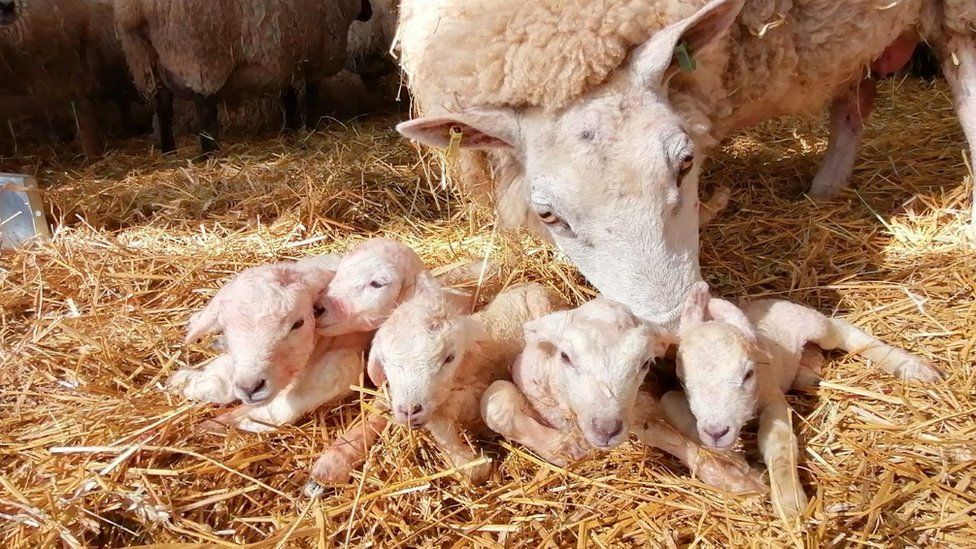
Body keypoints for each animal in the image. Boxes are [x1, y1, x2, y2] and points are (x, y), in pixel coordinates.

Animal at [113, 0, 372, 154]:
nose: (369, 12)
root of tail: (136, 10)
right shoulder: (313, 57)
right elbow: (310, 97)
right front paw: (310, 126)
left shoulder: (285, 60)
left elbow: (288, 98)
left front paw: (288, 130)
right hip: (197, 53)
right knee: (204, 105)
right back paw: (209, 152)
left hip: (144, 59)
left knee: (162, 105)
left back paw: (169, 149)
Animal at [168, 254, 365, 432]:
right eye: (226, 325)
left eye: (298, 323)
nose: (250, 388)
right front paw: (183, 381)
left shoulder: (342, 362)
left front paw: (238, 420)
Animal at [304, 278, 563, 495]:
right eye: (385, 360)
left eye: (449, 358)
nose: (410, 410)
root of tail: (529, 283)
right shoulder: (436, 417)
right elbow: (470, 466)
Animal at [480, 298, 767, 494]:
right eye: (565, 356)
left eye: (645, 363)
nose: (605, 429)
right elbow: (495, 402)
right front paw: (569, 447)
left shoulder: (641, 408)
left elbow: (662, 433)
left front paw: (737, 476)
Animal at [663, 282, 943, 518]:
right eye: (684, 381)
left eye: (748, 374)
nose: (716, 431)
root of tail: (766, 302)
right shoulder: (675, 396)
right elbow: (669, 402)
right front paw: (730, 456)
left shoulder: (772, 395)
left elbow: (778, 440)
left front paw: (790, 502)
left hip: (813, 324)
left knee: (840, 330)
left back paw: (911, 366)